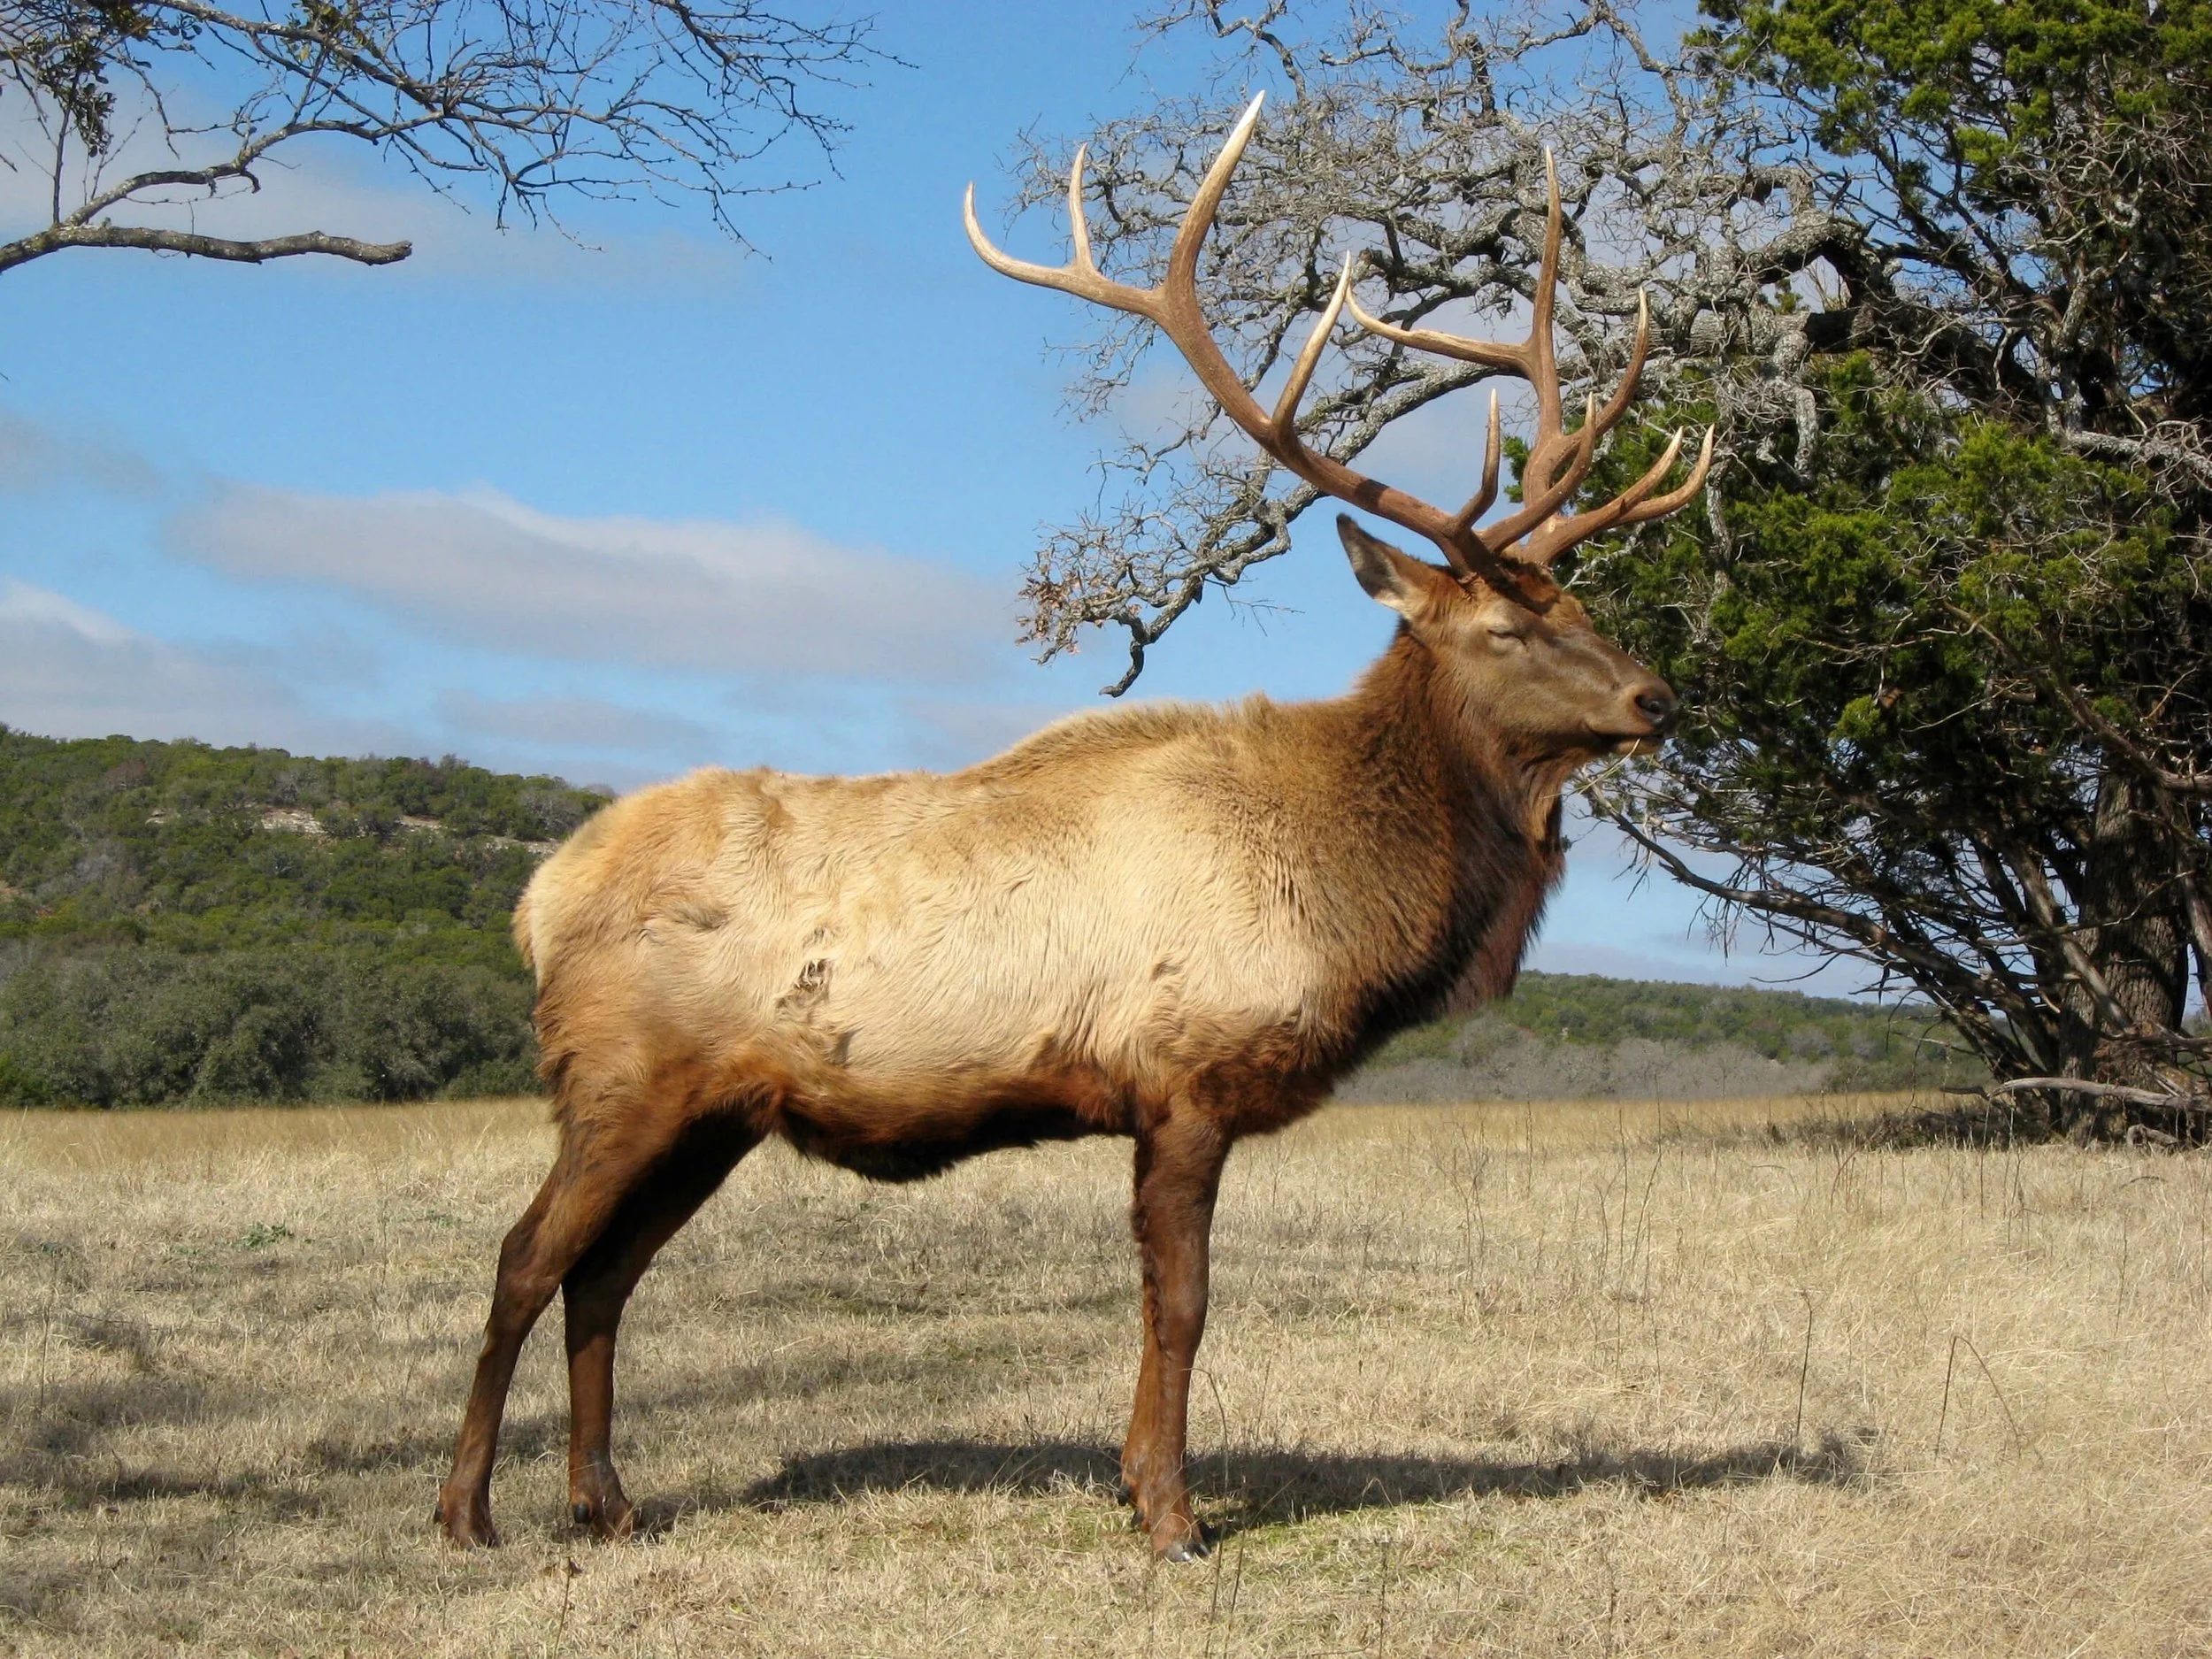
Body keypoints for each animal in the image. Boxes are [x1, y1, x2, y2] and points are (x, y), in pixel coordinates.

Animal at [434, 92, 1712, 1561]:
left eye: (1580, 605)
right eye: (1507, 626)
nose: (1656, 694)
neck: (1353, 893)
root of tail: (537, 896)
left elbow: (1168, 1303)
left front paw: (1135, 1485)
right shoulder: (1185, 1073)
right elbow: (1185, 1303)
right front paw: (1169, 1512)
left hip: (713, 1111)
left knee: (603, 1277)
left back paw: (608, 1499)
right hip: (620, 1076)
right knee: (525, 1258)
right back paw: (467, 1508)